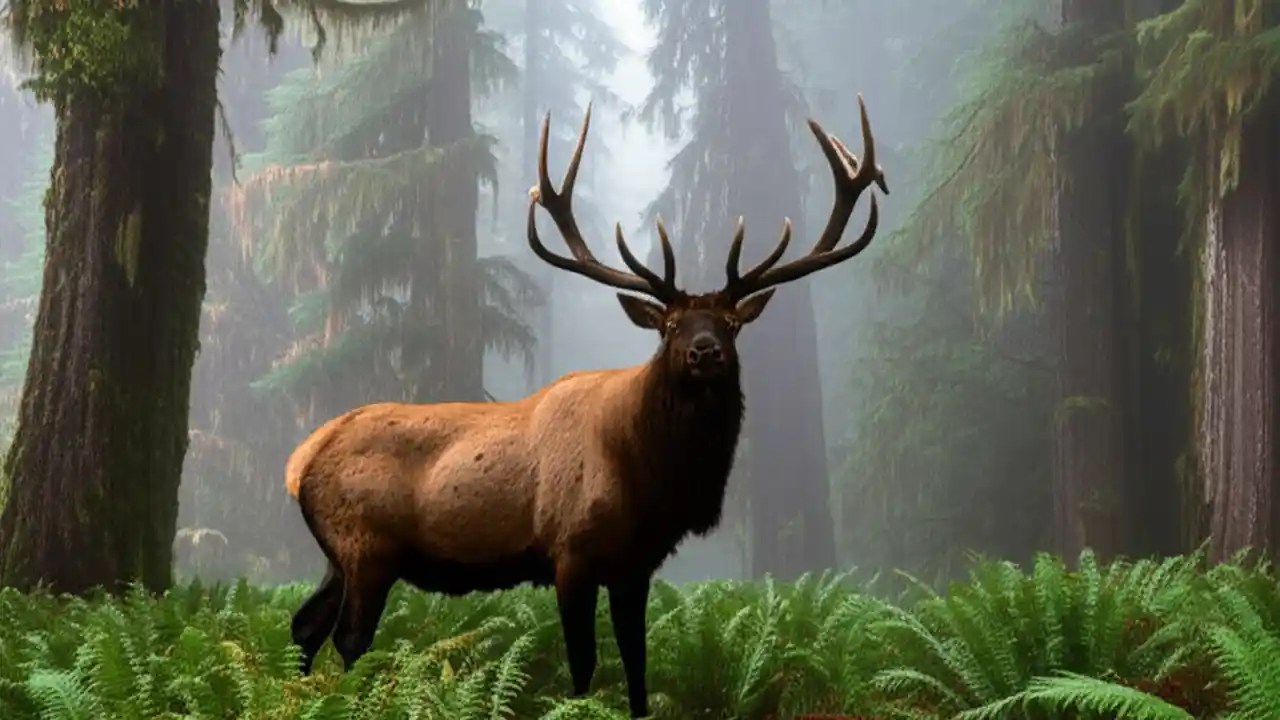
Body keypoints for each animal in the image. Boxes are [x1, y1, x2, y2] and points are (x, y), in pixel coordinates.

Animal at [285, 96, 887, 719]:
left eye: (731, 322)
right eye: (671, 325)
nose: (706, 351)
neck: (650, 479)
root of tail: (300, 461)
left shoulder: (636, 564)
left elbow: (638, 664)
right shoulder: (569, 551)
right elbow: (583, 666)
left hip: (337, 554)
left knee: (304, 624)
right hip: (366, 547)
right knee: (350, 639)